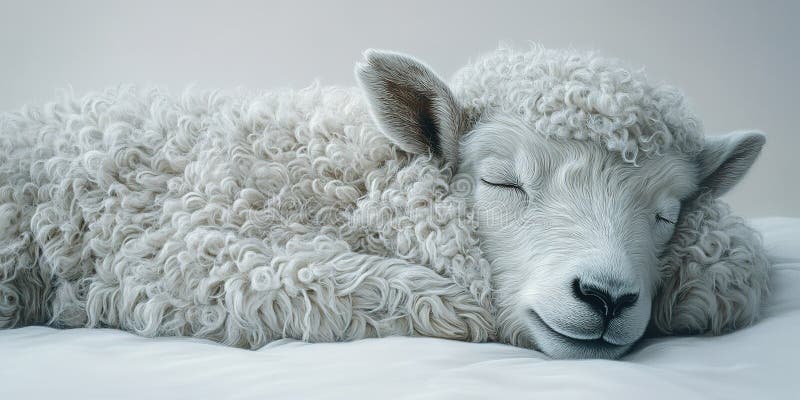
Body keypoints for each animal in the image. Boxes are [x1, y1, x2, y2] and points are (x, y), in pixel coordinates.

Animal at [0, 45, 769, 359]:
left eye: (666, 213)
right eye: (503, 182)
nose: (607, 297)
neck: (348, 172)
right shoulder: (194, 252)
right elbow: (321, 281)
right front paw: (460, 308)